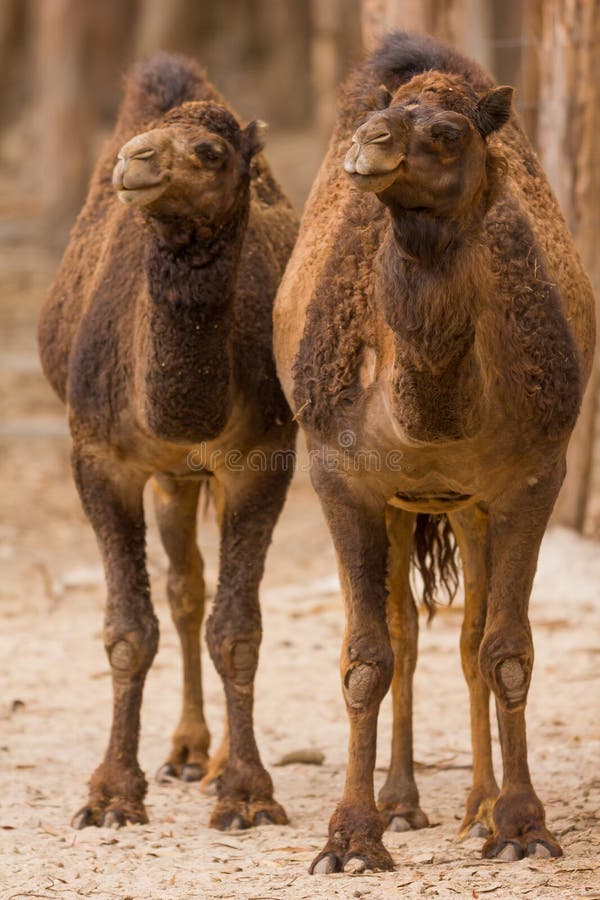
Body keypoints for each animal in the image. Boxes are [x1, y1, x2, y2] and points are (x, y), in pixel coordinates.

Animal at [38, 54, 298, 830]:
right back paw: (186, 752)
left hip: (190, 475)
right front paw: (110, 793)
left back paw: (208, 760)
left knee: (200, 594)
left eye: (210, 153)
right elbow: (128, 631)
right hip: (170, 477)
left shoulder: (262, 459)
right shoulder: (101, 459)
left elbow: (238, 630)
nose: (136, 159)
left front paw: (247, 791)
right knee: (184, 588)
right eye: (148, 140)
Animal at [274, 32, 595, 873]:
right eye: (385, 120)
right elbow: (366, 658)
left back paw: (478, 805)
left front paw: (521, 825)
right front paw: (351, 838)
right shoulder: (340, 476)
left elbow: (506, 651)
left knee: (468, 633)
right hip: (401, 505)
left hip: (470, 508)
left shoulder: (532, 476)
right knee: (407, 634)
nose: (370, 142)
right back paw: (400, 802)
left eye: (447, 134)